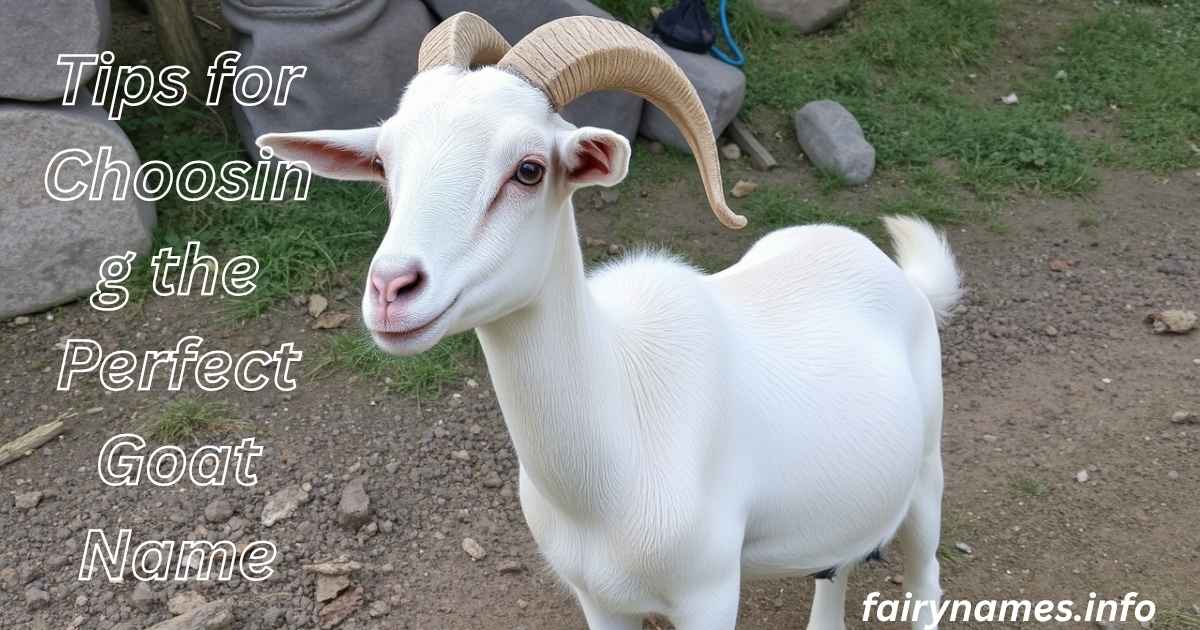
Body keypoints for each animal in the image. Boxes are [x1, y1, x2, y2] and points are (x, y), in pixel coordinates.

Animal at [259, 12, 960, 630]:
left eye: (529, 169)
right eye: (384, 164)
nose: (391, 289)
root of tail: (896, 273)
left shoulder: (710, 594)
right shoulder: (597, 599)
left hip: (926, 475)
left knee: (925, 580)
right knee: (836, 571)